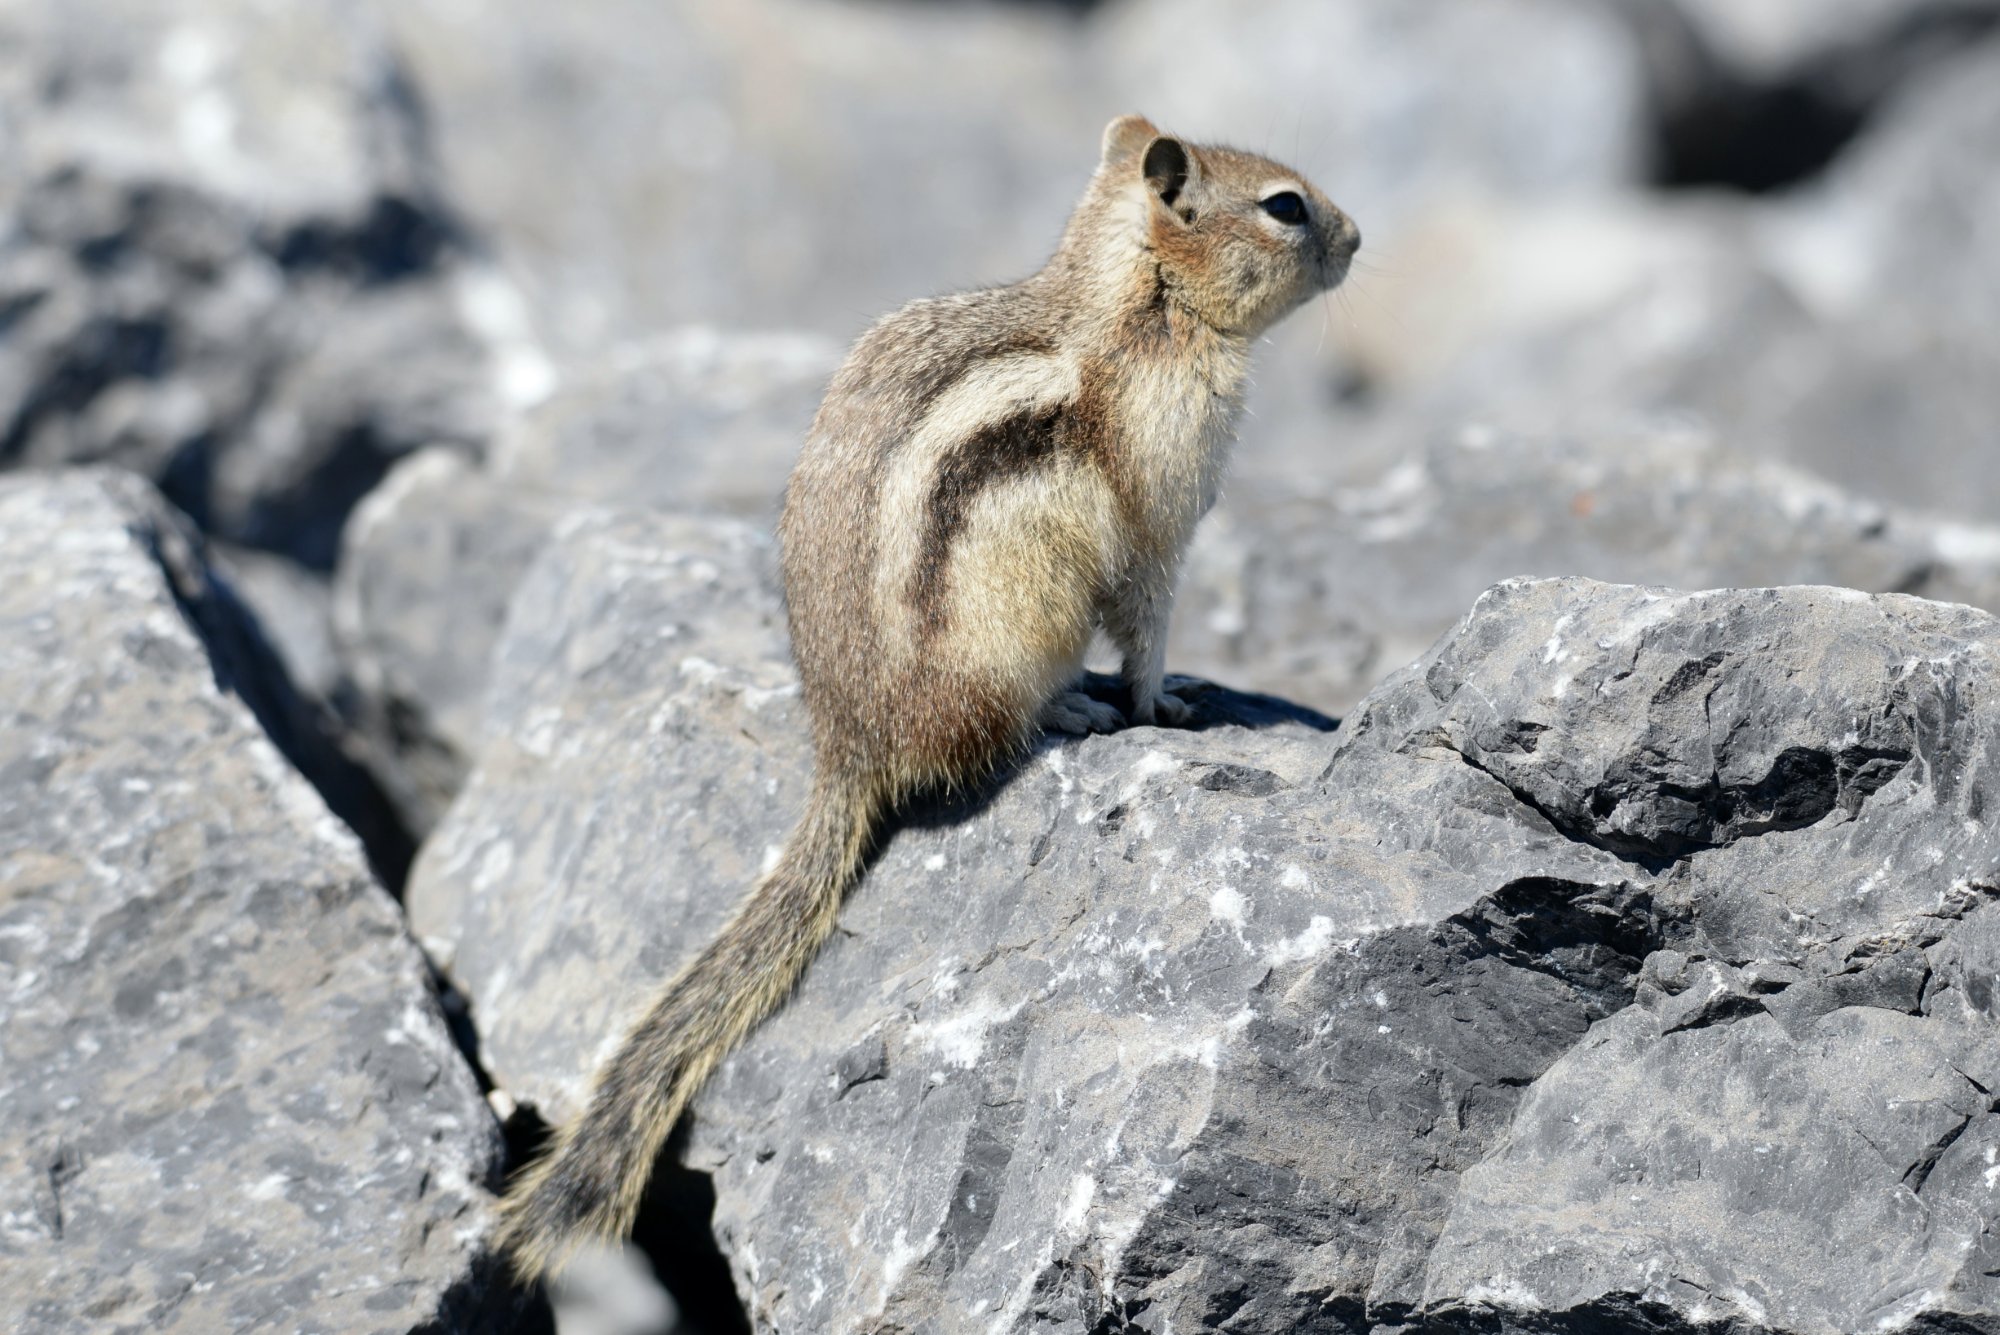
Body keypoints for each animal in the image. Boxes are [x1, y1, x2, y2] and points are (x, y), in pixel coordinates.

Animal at [496, 114, 1359, 1279]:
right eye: (1284, 207)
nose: (1358, 238)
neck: (1134, 305)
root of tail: (846, 744)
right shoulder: (1158, 518)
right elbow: (1145, 621)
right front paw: (1164, 701)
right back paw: (1066, 711)